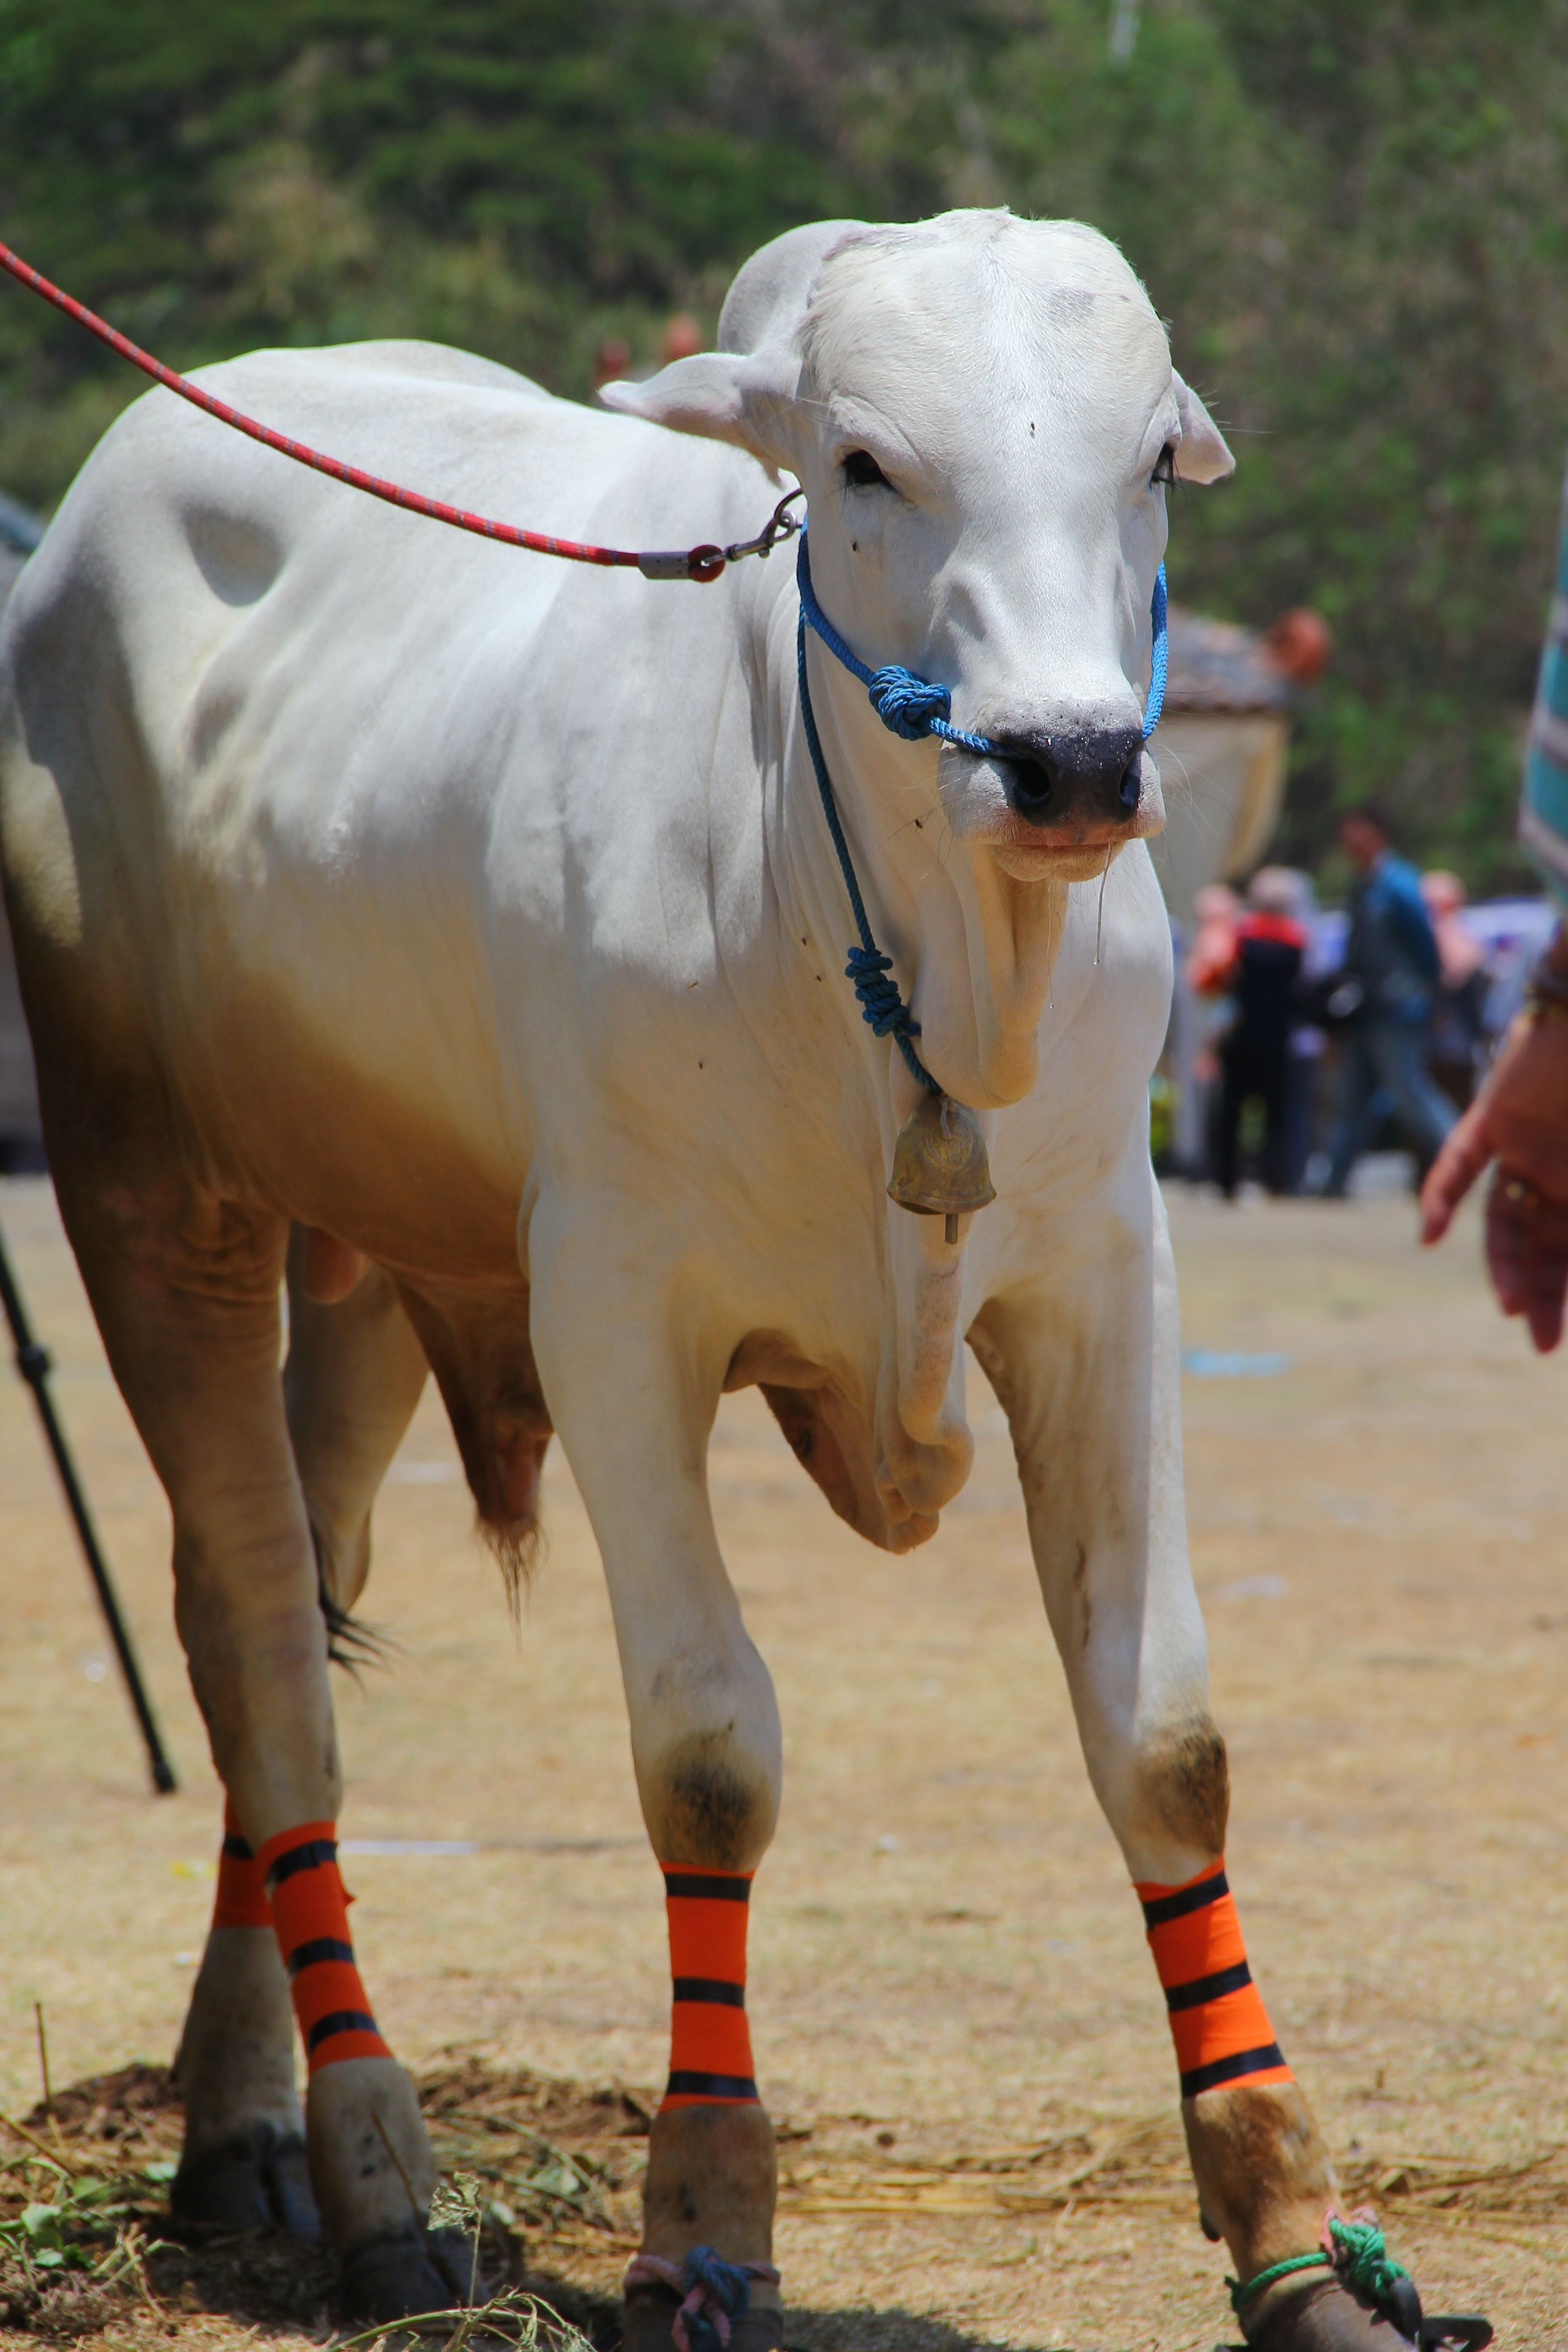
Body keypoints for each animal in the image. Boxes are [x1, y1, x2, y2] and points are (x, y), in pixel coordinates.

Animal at [0, 211, 1459, 2350]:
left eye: (1146, 466)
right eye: (861, 461)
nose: (1075, 760)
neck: (898, 951)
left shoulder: (1104, 1274)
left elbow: (1163, 1739)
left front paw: (1294, 2229)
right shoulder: (615, 1308)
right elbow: (706, 1757)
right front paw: (701, 2217)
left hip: (359, 1272)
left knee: (284, 1608)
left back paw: (244, 2120)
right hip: (148, 1184)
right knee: (264, 1659)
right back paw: (374, 2170)